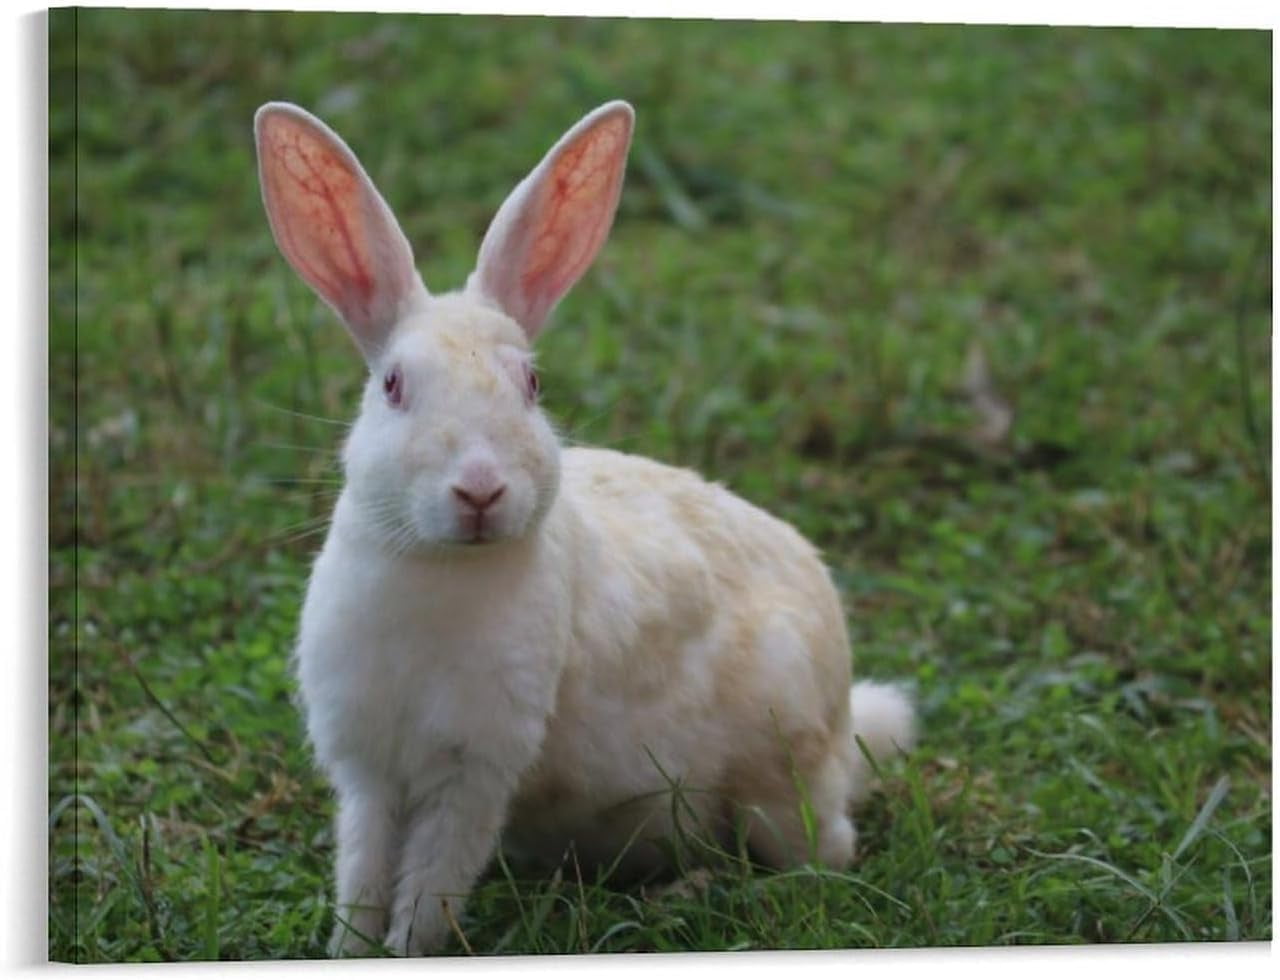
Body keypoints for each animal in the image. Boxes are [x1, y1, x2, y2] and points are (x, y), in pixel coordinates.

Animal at [254, 98, 916, 958]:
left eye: (531, 385)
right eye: (393, 385)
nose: (480, 490)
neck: (440, 567)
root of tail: (846, 721)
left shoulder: (475, 771)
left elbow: (432, 881)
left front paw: (404, 951)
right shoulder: (369, 772)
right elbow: (364, 873)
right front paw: (349, 951)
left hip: (779, 778)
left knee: (820, 855)